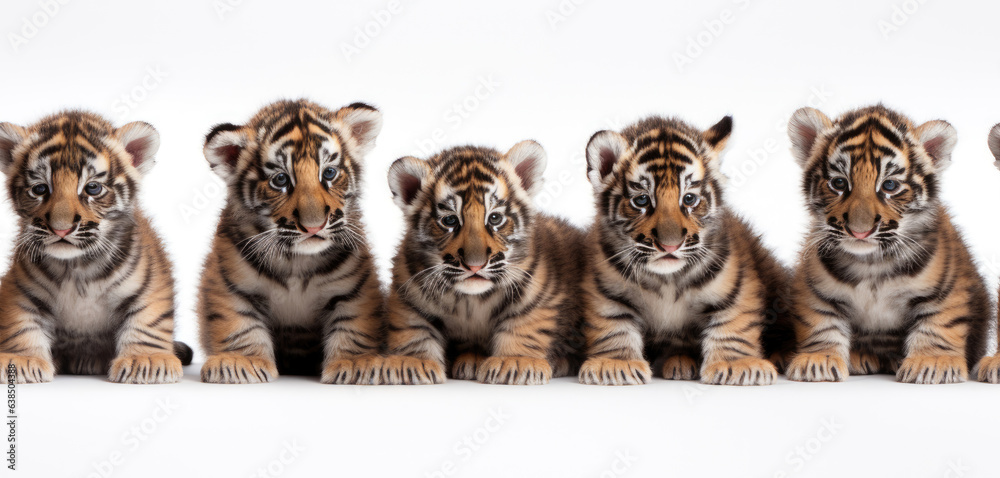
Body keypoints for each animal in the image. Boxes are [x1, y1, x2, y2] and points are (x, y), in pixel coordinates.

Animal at [0, 111, 192, 384]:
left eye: (92, 188)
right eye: (40, 189)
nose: (61, 229)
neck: (77, 265)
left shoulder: (153, 281)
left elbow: (148, 319)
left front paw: (146, 360)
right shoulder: (18, 287)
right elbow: (19, 322)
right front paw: (21, 360)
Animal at [197, 99, 385, 384]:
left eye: (329, 173)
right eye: (281, 179)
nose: (314, 225)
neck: (296, 260)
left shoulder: (355, 287)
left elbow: (353, 323)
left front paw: (354, 364)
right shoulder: (229, 282)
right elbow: (239, 322)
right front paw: (241, 361)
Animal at [381, 141, 587, 385]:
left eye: (495, 218)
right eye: (450, 220)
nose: (475, 265)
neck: (472, 301)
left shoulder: (541, 291)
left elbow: (525, 325)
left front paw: (515, 361)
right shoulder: (407, 290)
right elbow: (413, 328)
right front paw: (412, 362)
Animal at [578, 115, 794, 386]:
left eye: (689, 199)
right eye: (641, 200)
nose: (670, 245)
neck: (667, 279)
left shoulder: (736, 283)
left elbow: (734, 323)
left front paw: (737, 365)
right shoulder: (604, 287)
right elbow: (612, 324)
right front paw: (615, 364)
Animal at [784, 104, 990, 384]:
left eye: (889, 185)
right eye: (839, 183)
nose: (860, 231)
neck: (871, 262)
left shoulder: (947, 288)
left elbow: (939, 322)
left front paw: (931, 362)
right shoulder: (813, 288)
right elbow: (820, 321)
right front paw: (818, 360)